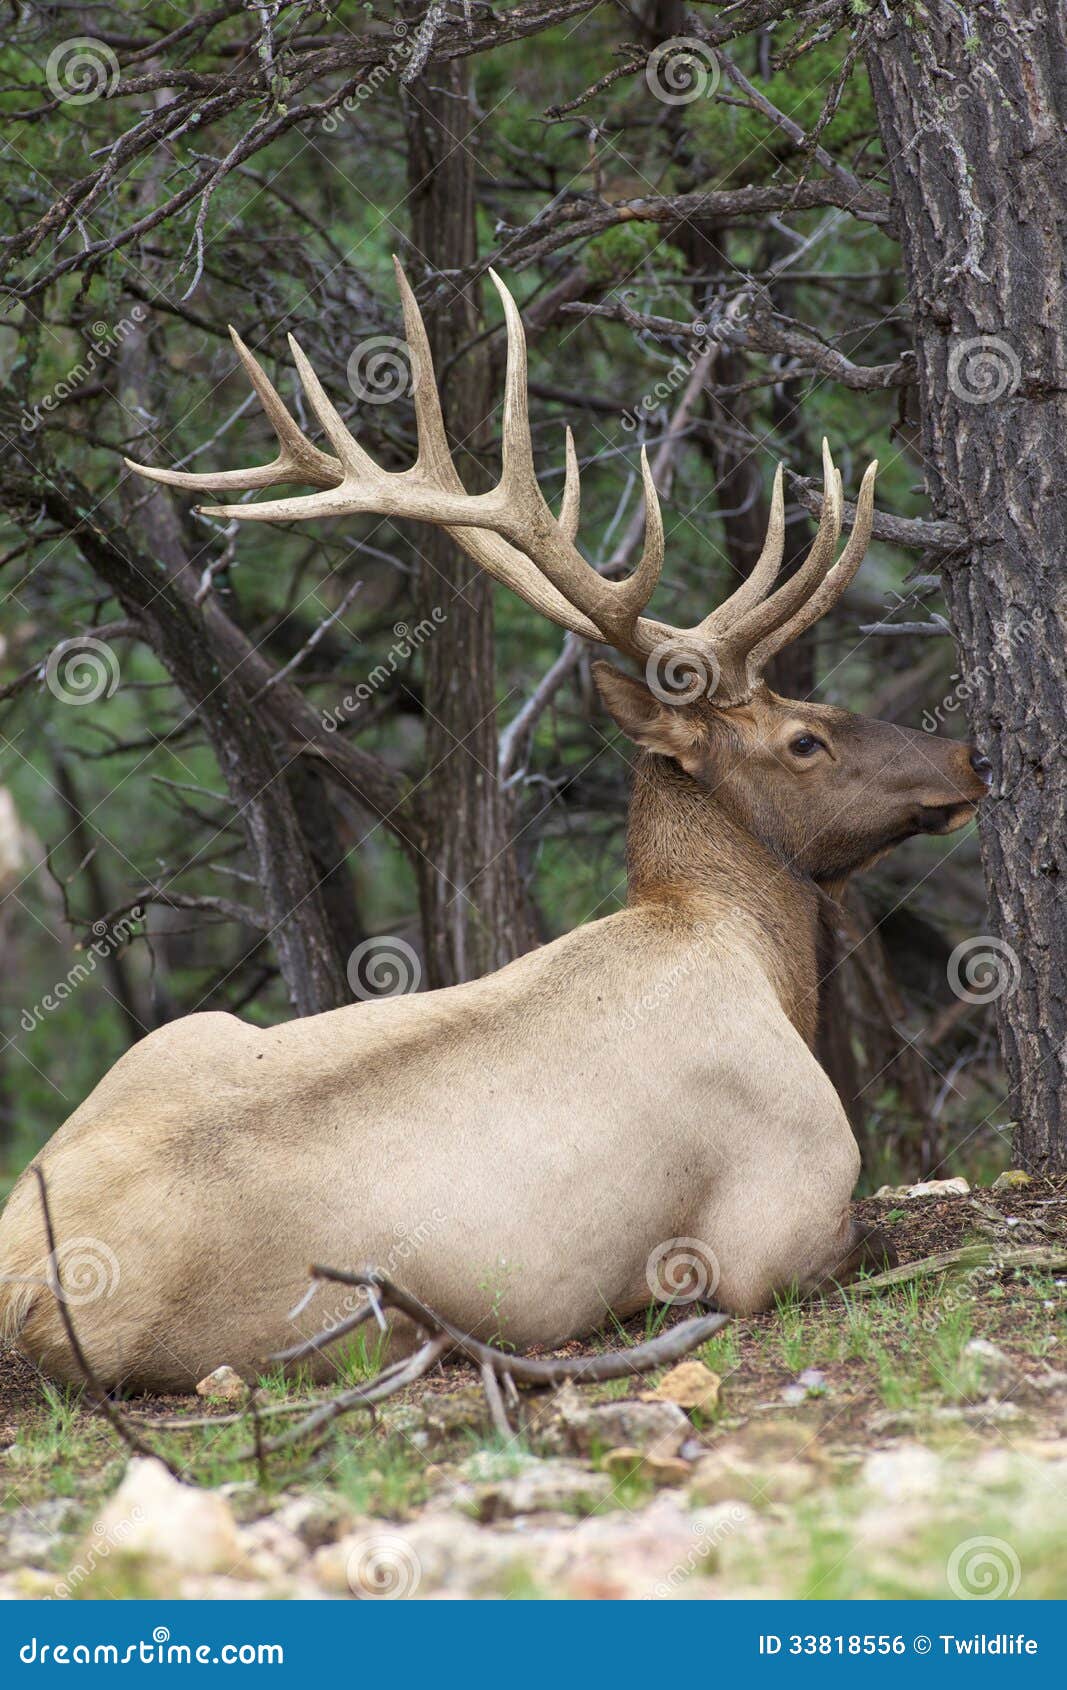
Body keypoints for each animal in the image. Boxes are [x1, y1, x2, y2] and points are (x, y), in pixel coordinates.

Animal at [0, 263, 990, 1396]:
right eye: (802, 739)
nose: (965, 759)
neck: (746, 949)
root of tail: (23, 1284)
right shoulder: (778, 1213)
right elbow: (880, 1232)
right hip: (351, 1320)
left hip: (181, 1035)